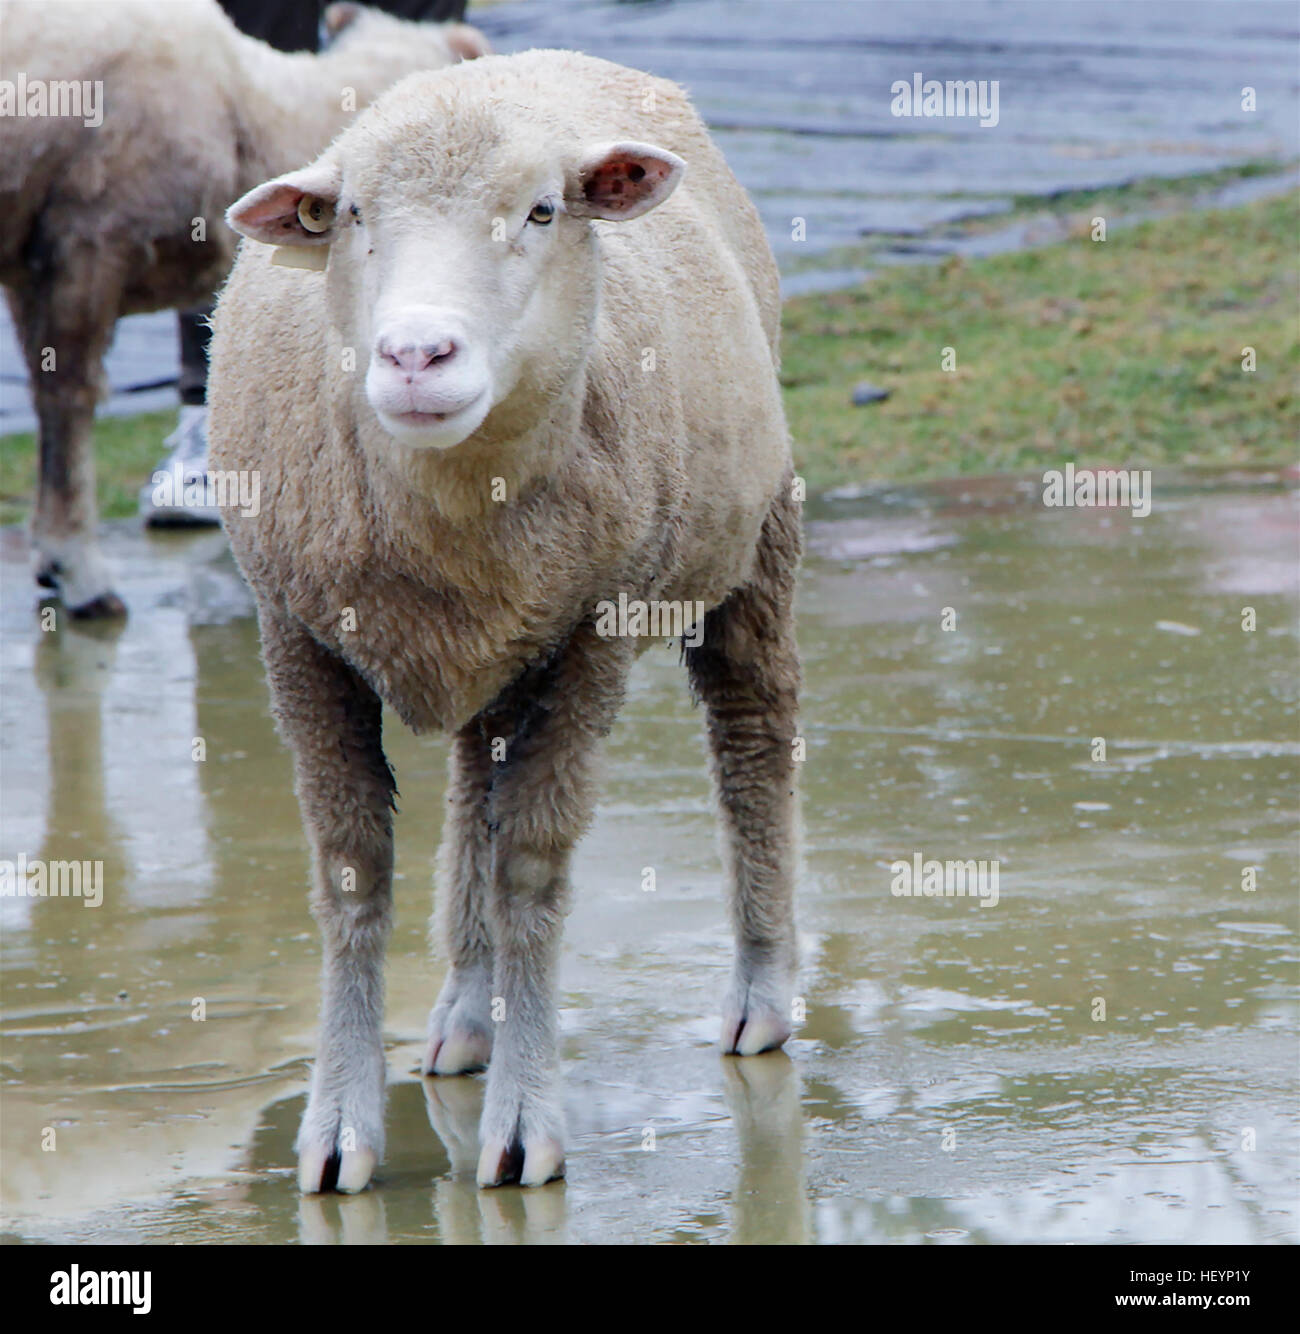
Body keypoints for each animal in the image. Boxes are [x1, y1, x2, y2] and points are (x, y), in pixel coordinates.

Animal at [0, 0, 488, 617]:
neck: (249, 108)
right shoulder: (85, 237)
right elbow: (68, 401)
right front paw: (78, 569)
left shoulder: (32, 259)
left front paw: (54, 559)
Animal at [208, 48, 803, 1192]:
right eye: (350, 214)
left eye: (541, 211)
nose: (415, 355)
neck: (449, 504)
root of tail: (540, 59)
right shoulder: (296, 632)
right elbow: (353, 871)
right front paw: (339, 1123)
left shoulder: (592, 635)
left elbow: (530, 864)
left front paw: (526, 1122)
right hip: (495, 642)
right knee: (473, 778)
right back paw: (464, 1009)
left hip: (755, 539)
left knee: (752, 737)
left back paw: (760, 989)